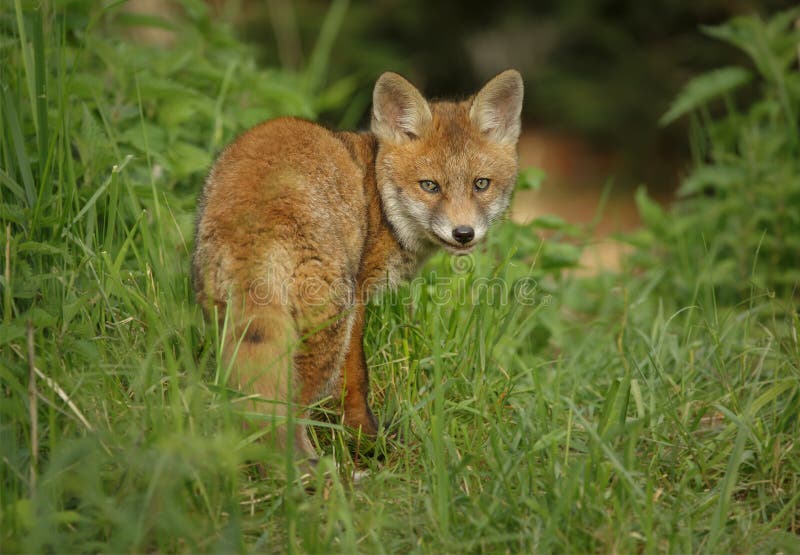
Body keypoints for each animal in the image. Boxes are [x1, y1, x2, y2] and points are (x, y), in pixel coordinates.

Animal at [192, 69, 523, 460]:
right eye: (429, 186)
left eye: (481, 184)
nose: (463, 234)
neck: (379, 198)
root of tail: (255, 216)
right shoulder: (360, 297)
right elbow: (356, 379)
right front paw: (365, 436)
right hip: (328, 324)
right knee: (288, 412)